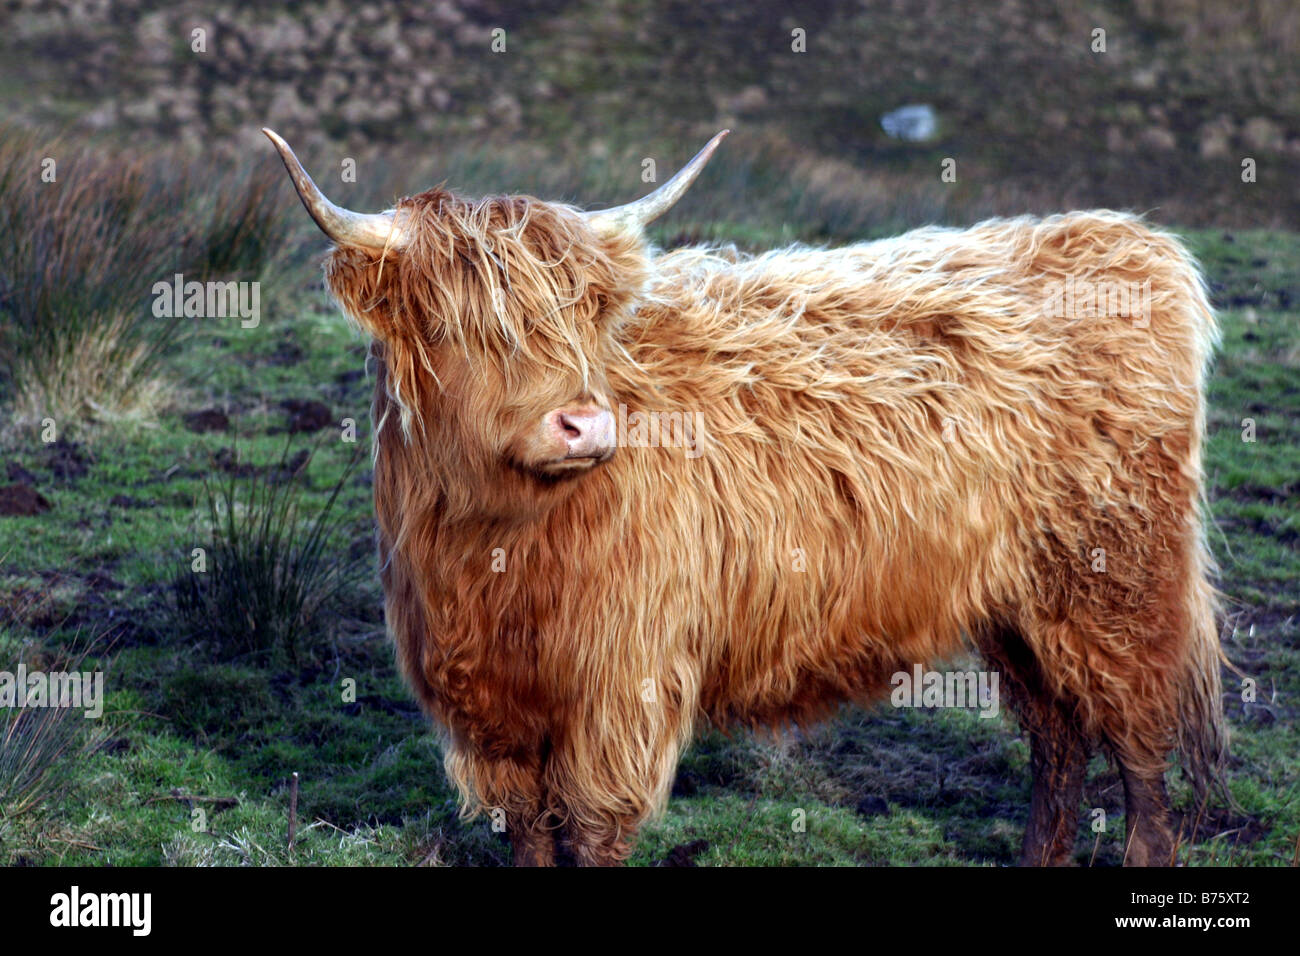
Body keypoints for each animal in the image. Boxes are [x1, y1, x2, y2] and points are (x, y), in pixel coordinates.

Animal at [264, 127, 1227, 866]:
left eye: (583, 317)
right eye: (459, 325)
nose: (584, 423)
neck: (496, 549)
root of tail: (1117, 236)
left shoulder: (621, 683)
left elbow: (589, 831)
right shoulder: (488, 707)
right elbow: (530, 832)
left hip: (1117, 581)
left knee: (1138, 741)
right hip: (1021, 600)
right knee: (1058, 739)